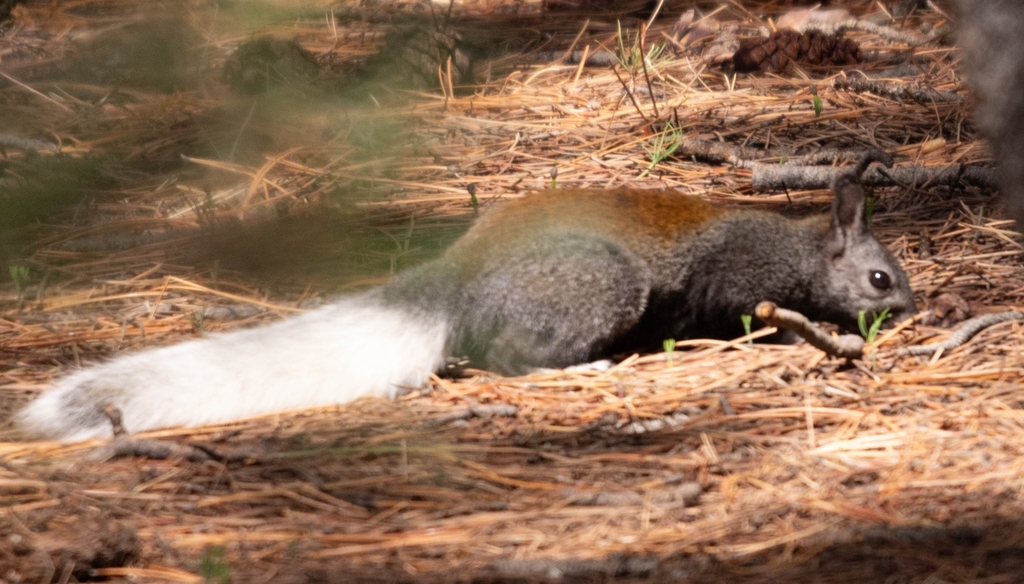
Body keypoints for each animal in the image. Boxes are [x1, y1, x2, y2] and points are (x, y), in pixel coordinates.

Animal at [17, 151, 914, 441]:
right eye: (880, 278)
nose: (911, 310)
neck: (797, 246)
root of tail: (455, 276)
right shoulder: (735, 277)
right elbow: (743, 317)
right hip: (601, 287)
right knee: (511, 358)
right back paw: (582, 369)